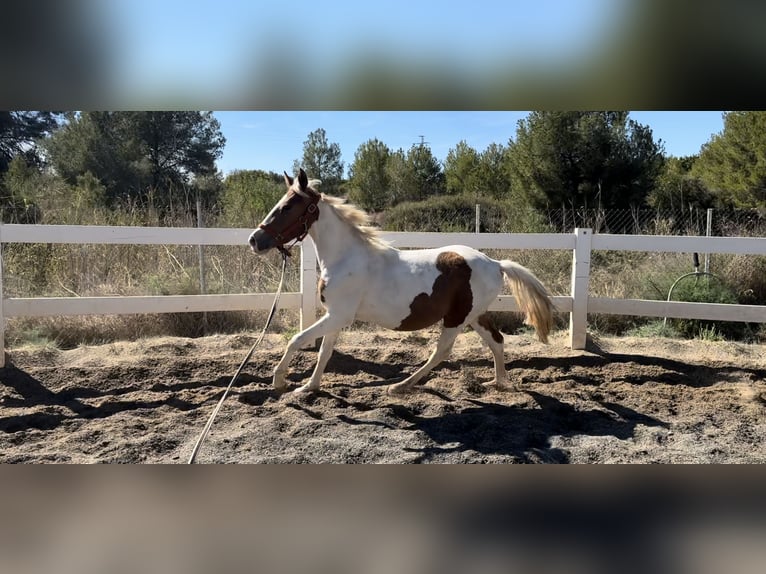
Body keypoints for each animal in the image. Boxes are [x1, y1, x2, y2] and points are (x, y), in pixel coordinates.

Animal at [248, 169, 554, 395]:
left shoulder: (339, 315)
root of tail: (495, 264)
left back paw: (400, 386)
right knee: (496, 341)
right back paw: (499, 383)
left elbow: (297, 340)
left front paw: (279, 381)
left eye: (288, 206)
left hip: (457, 318)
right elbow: (324, 351)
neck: (346, 258)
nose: (255, 240)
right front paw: (308, 388)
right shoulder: (334, 316)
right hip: (475, 315)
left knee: (442, 351)